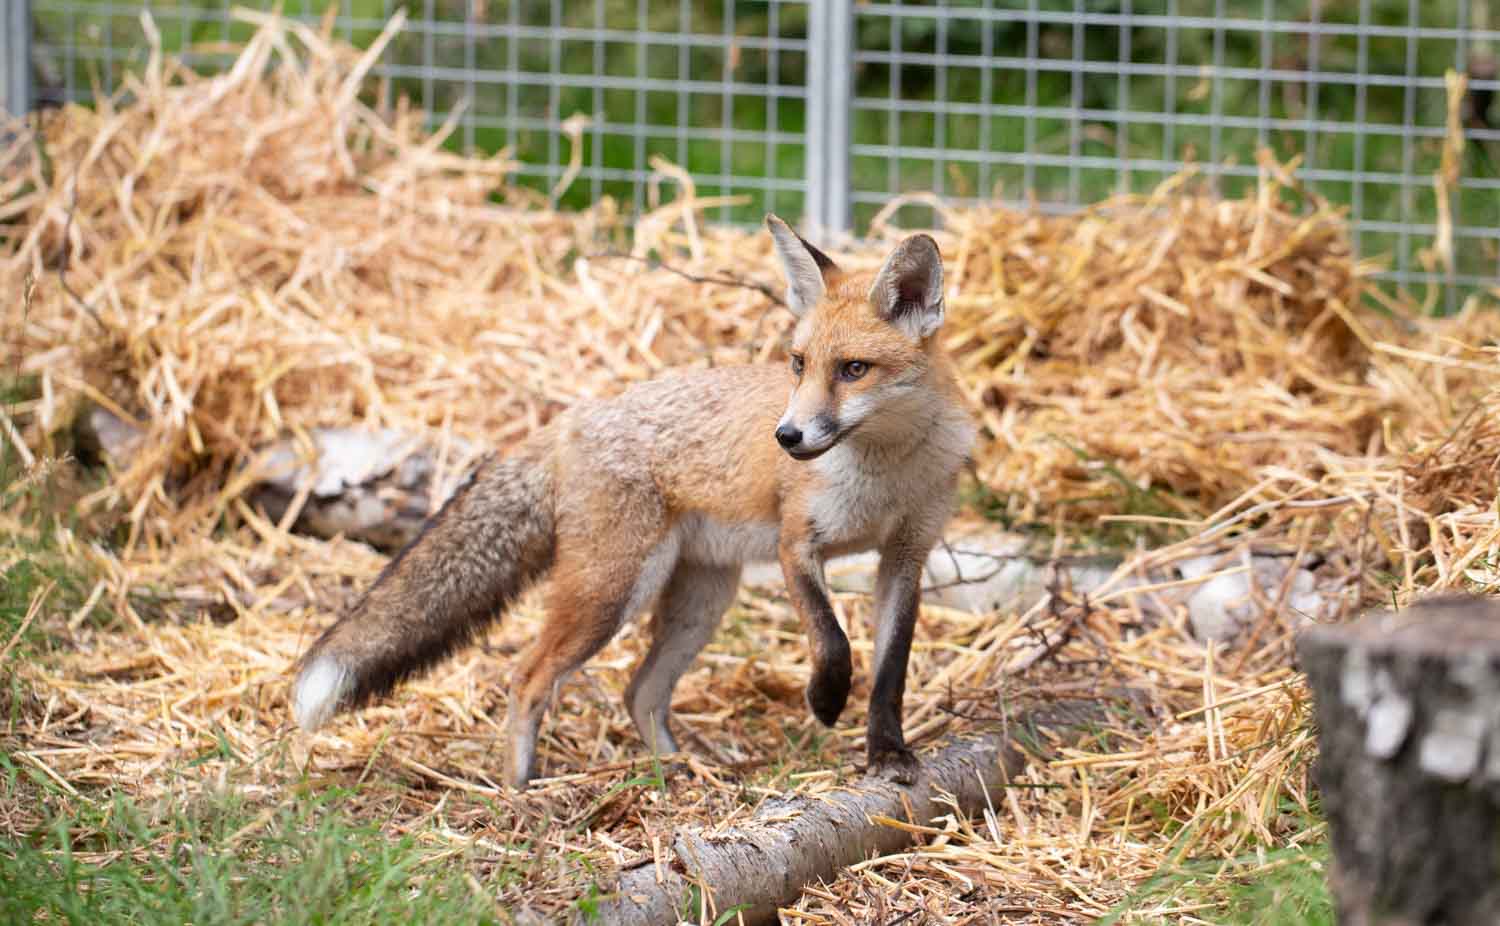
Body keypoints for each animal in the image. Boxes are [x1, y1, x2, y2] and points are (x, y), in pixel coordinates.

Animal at [290, 215, 976, 788]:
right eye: (799, 364)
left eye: (854, 369)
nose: (786, 436)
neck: (886, 475)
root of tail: (574, 417)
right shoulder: (796, 544)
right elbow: (832, 642)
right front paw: (826, 701)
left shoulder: (905, 556)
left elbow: (890, 674)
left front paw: (888, 754)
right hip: (612, 591)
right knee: (528, 676)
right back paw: (521, 789)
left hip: (699, 601)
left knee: (639, 692)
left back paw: (681, 778)